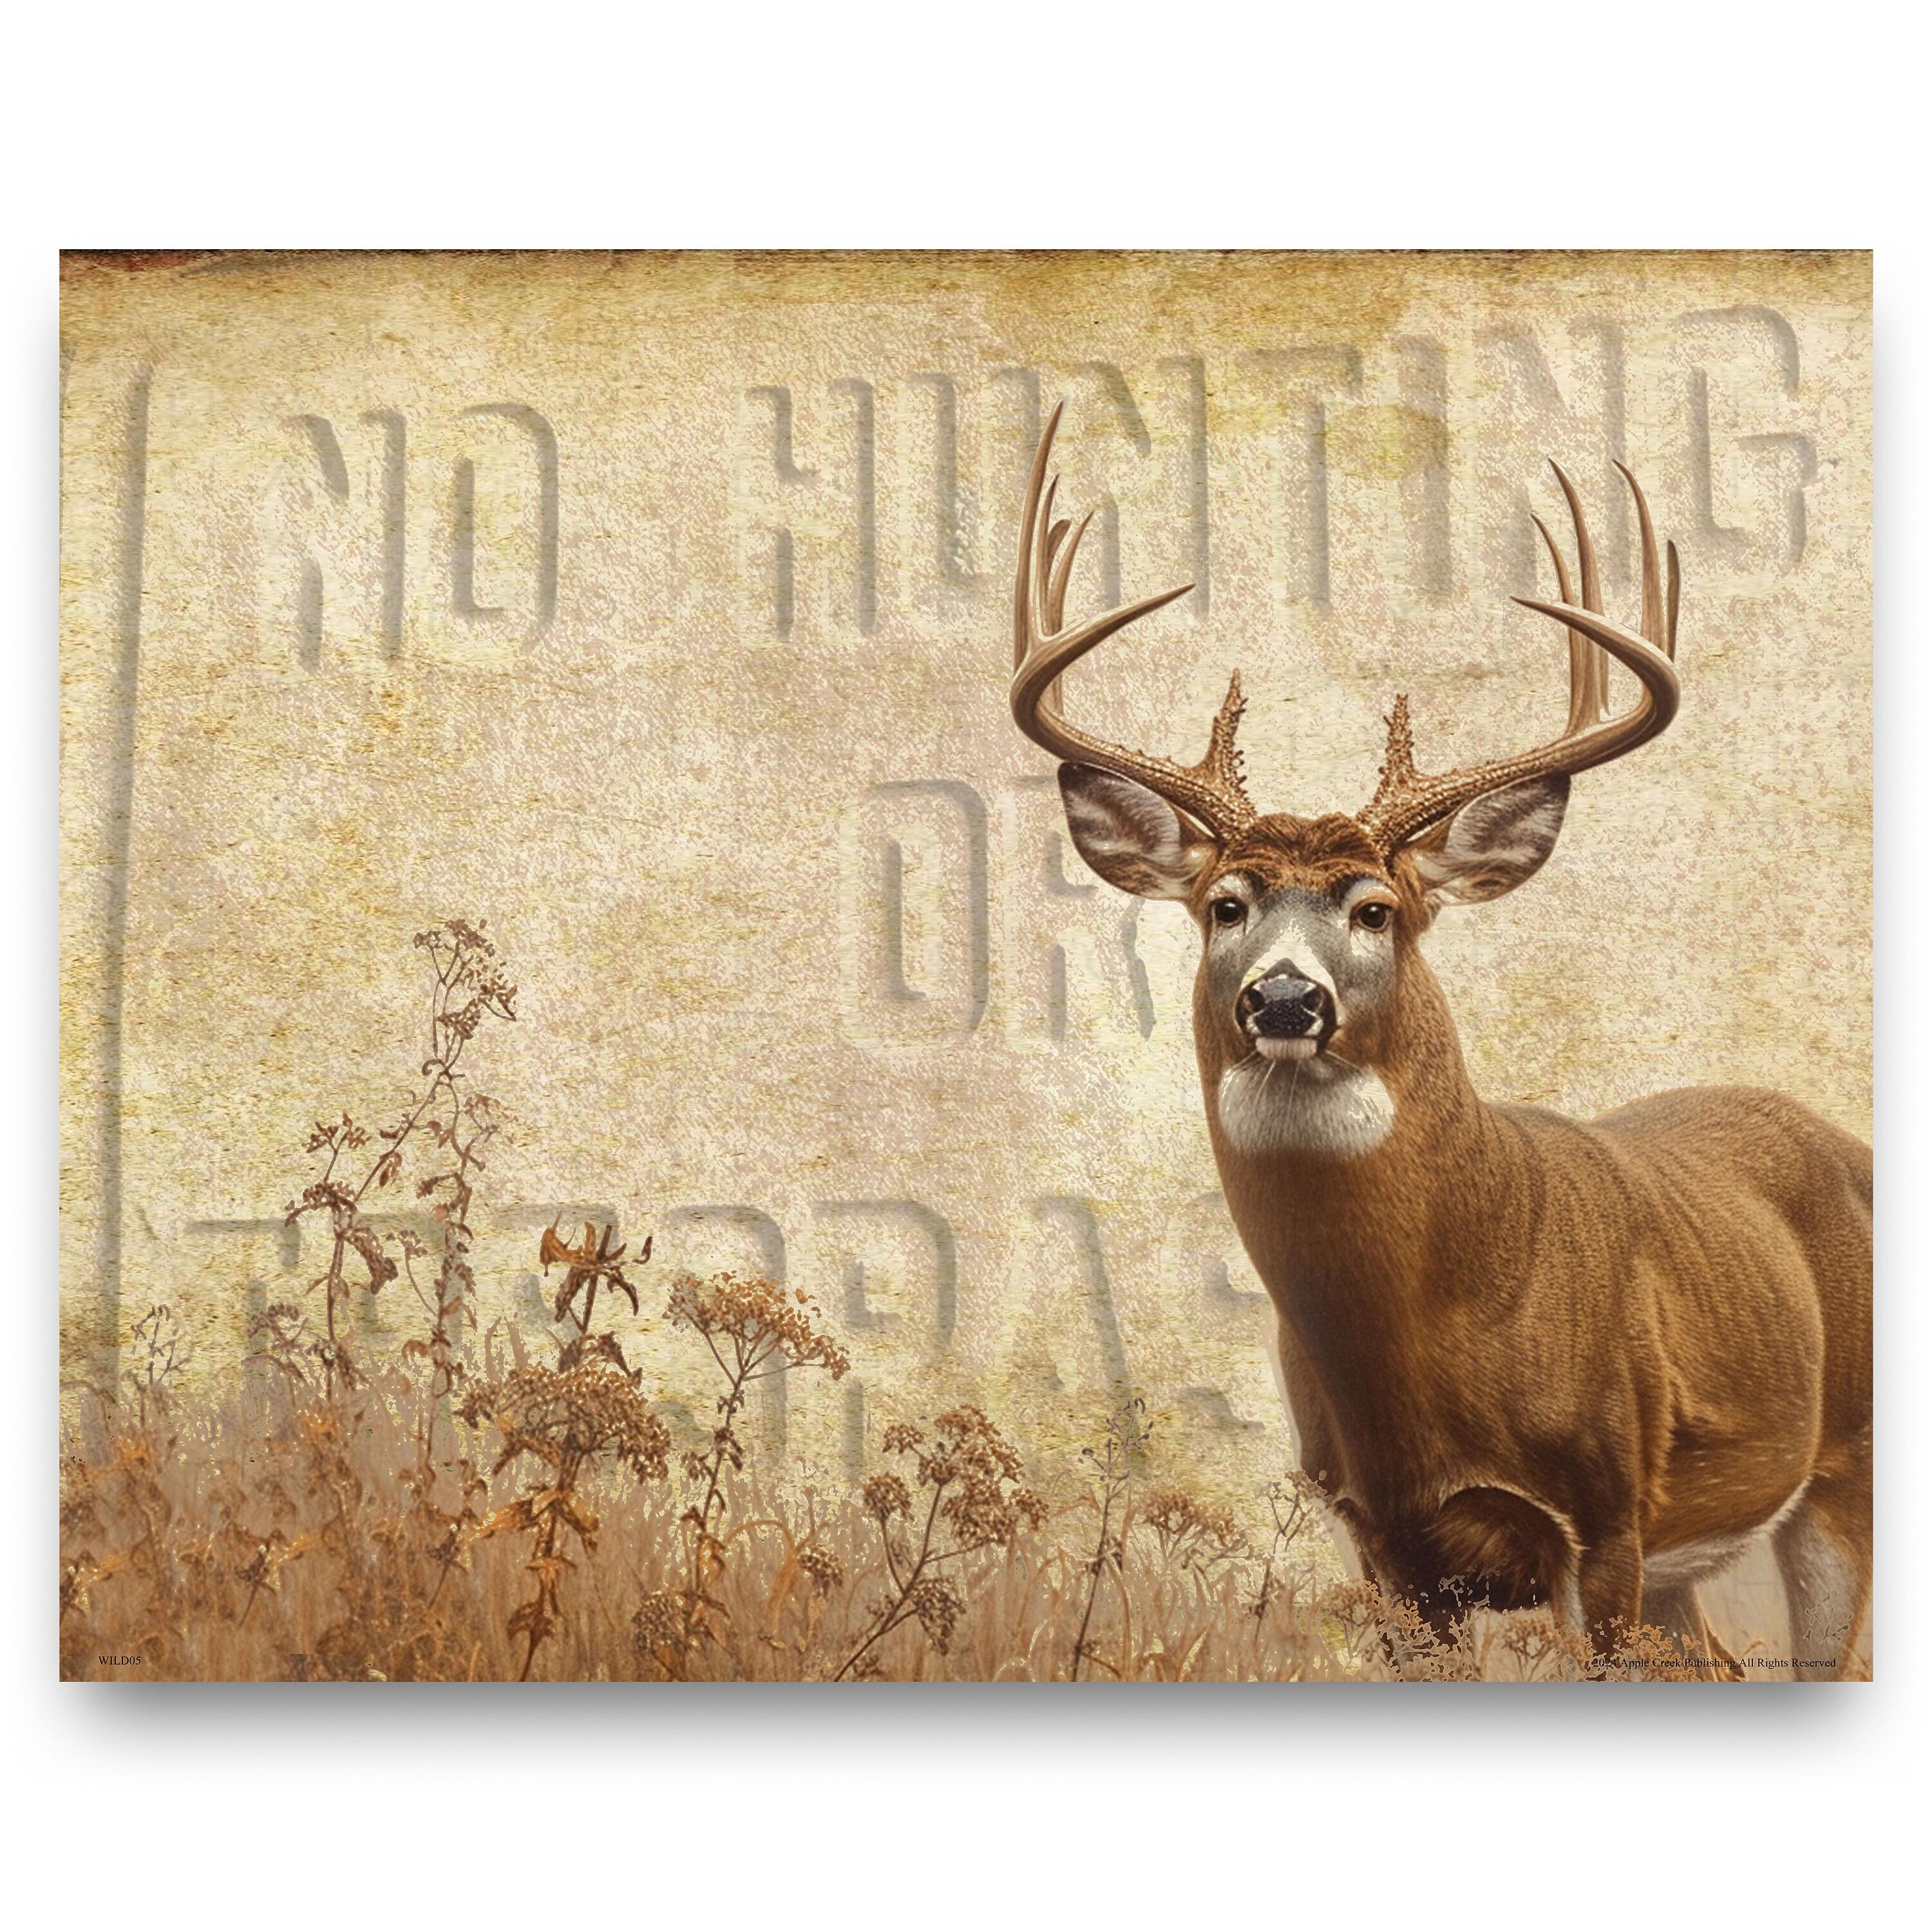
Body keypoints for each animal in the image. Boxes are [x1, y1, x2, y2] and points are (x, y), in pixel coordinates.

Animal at [1009, 402, 1872, 1679]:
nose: (1283, 999)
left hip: (1842, 1457)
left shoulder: (1609, 1508)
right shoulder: (1385, 1545)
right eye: (1225, 903)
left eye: (1377, 907)